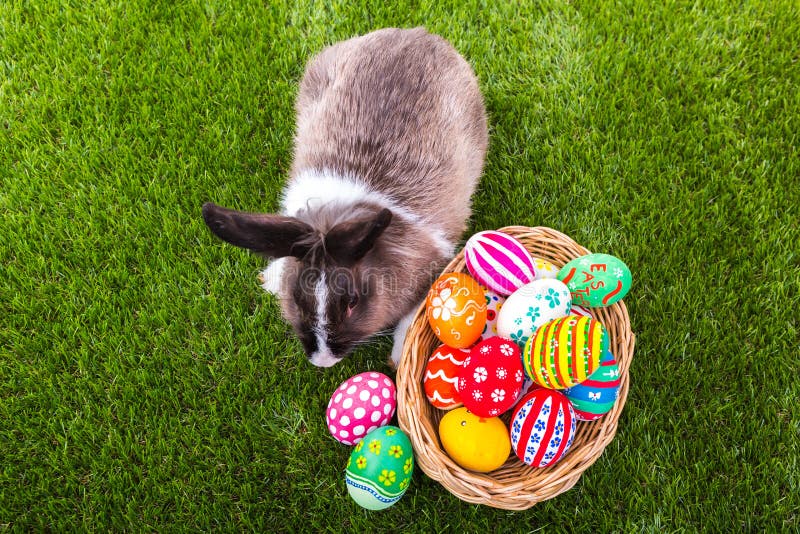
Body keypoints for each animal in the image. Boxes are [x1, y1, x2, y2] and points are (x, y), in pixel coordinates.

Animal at [202, 27, 488, 367]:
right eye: (296, 300)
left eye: (353, 301)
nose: (323, 360)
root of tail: (422, 34)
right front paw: (271, 278)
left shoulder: (435, 267)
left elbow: (416, 313)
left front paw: (399, 356)